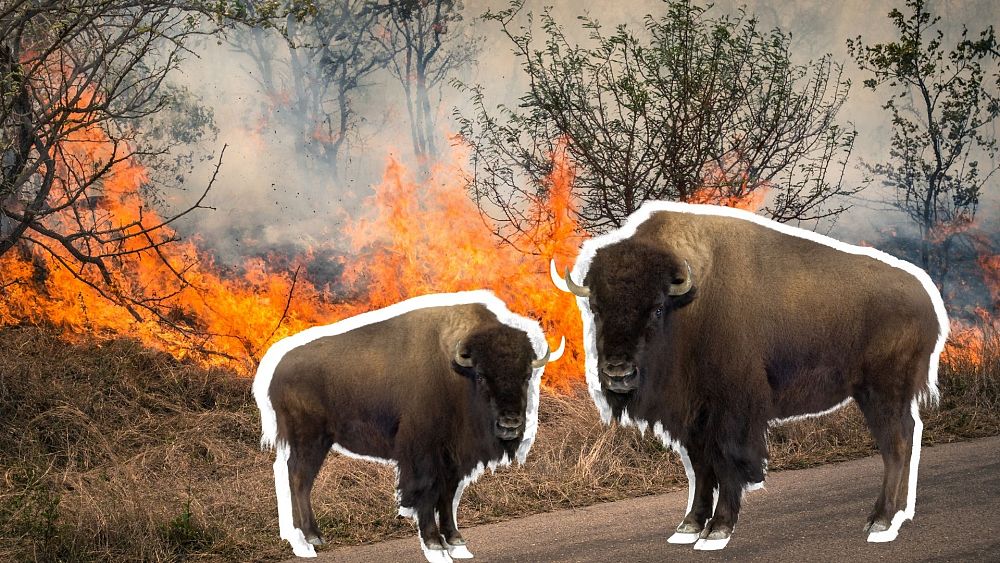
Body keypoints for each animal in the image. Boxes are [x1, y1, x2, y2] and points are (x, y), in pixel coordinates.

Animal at [253, 290, 563, 561]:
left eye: (526, 376)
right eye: (482, 376)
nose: (510, 424)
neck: (456, 374)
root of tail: (277, 370)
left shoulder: (452, 457)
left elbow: (448, 495)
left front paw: (456, 540)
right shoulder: (423, 452)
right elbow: (426, 491)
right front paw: (434, 542)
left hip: (316, 442)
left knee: (296, 478)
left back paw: (305, 536)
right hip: (310, 440)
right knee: (299, 479)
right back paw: (312, 537)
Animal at [553, 201, 948, 550]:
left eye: (657, 308)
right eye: (596, 308)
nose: (618, 373)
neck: (690, 306)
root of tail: (926, 298)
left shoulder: (731, 412)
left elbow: (728, 463)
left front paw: (717, 530)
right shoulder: (694, 419)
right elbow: (700, 467)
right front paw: (689, 526)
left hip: (882, 392)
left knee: (894, 445)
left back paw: (879, 520)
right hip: (883, 396)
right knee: (907, 436)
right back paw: (896, 514)